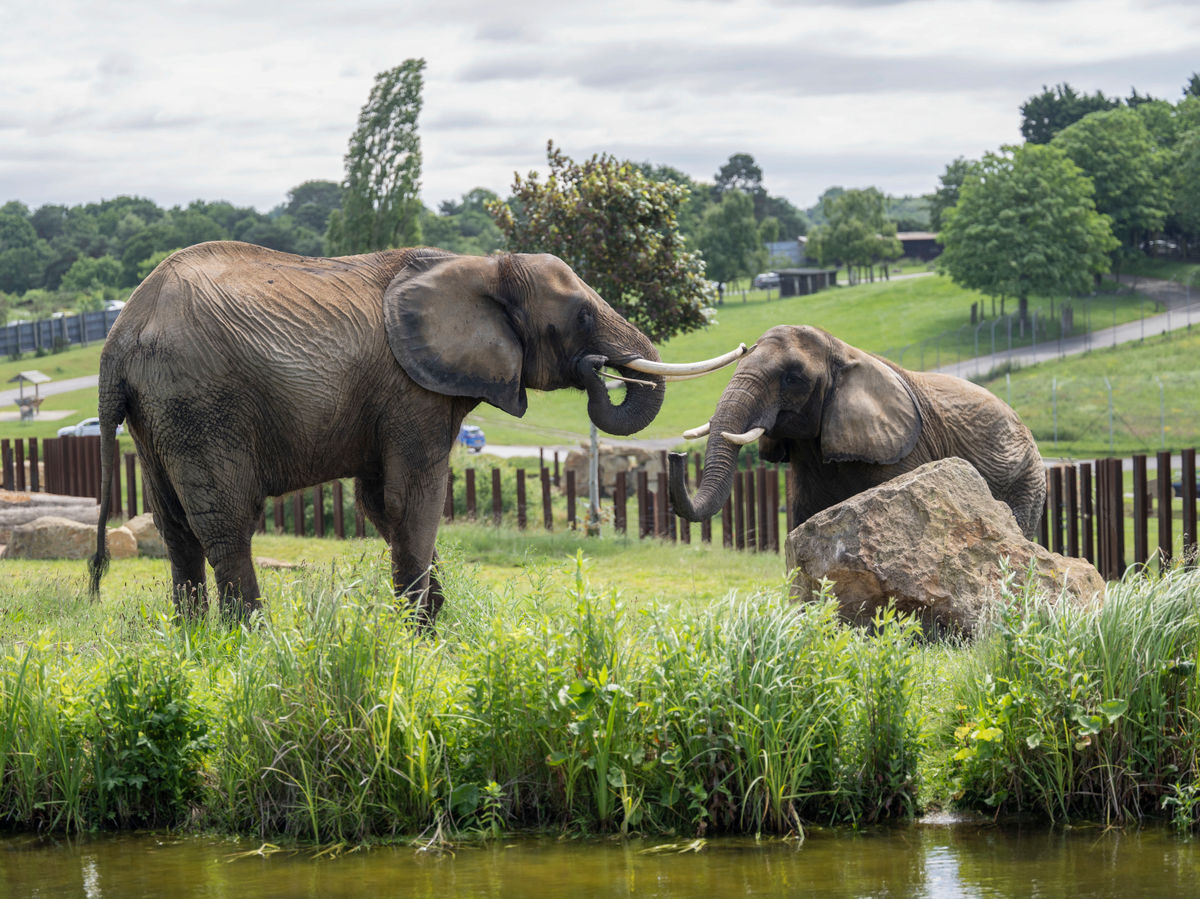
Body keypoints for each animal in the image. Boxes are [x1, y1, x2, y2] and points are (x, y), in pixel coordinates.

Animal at [88, 241, 744, 625]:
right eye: (582, 316)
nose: (596, 367)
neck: (480, 266)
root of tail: (117, 340)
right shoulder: (411, 390)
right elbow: (414, 498)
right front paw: (421, 634)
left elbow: (381, 503)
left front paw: (433, 618)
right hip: (199, 401)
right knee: (225, 523)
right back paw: (251, 637)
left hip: (159, 415)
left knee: (175, 526)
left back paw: (195, 640)